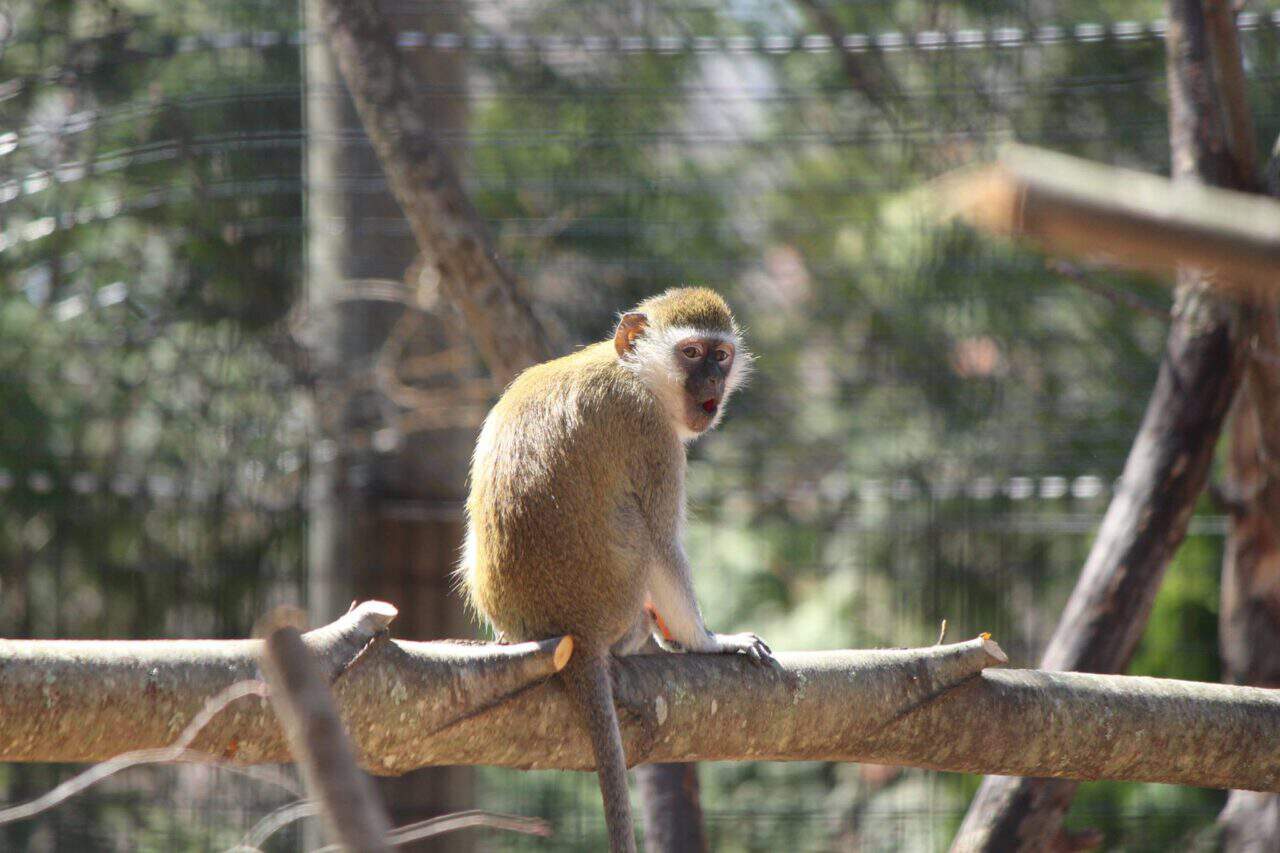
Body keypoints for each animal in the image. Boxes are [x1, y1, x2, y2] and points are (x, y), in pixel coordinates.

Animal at [458, 287, 774, 853]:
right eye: (691, 353)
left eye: (720, 355)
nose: (713, 382)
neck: (633, 371)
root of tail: (571, 631)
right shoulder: (653, 437)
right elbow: (665, 547)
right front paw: (706, 640)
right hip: (614, 602)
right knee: (644, 536)